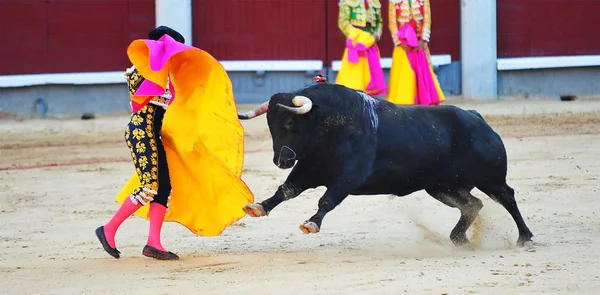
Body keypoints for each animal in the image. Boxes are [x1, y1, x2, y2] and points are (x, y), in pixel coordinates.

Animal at [237, 82, 532, 247]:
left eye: (290, 122)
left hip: (490, 178)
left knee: (507, 198)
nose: (281, 160)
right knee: (473, 204)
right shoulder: (309, 169)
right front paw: (258, 207)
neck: (327, 124)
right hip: (442, 187)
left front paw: (311, 223)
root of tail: (477, 119)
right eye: (270, 125)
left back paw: (525, 238)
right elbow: (285, 190)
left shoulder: (349, 176)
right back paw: (458, 238)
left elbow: (327, 199)